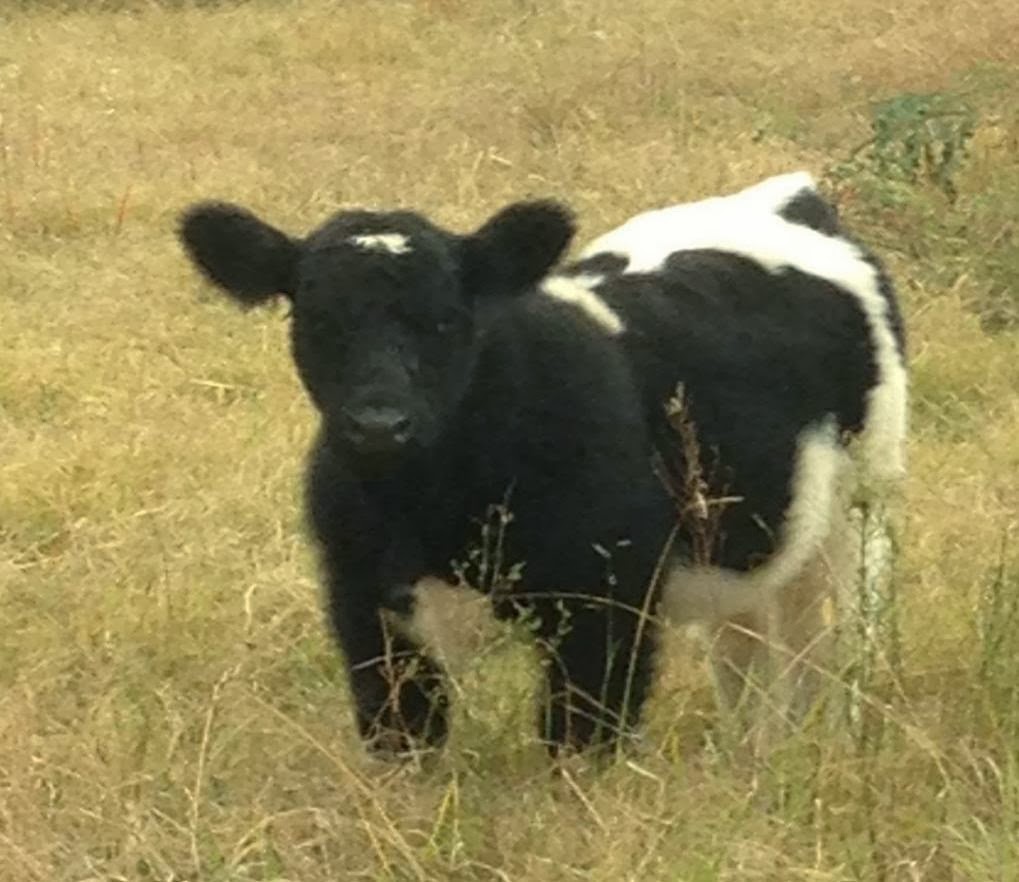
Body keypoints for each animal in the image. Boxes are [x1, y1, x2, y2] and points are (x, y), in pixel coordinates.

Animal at [177, 171, 907, 759]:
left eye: (447, 319)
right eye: (316, 321)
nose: (379, 425)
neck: (433, 513)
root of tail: (784, 198)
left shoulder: (606, 603)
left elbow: (579, 737)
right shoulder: (367, 607)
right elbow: (404, 735)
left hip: (862, 504)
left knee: (839, 643)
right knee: (751, 653)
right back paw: (757, 756)